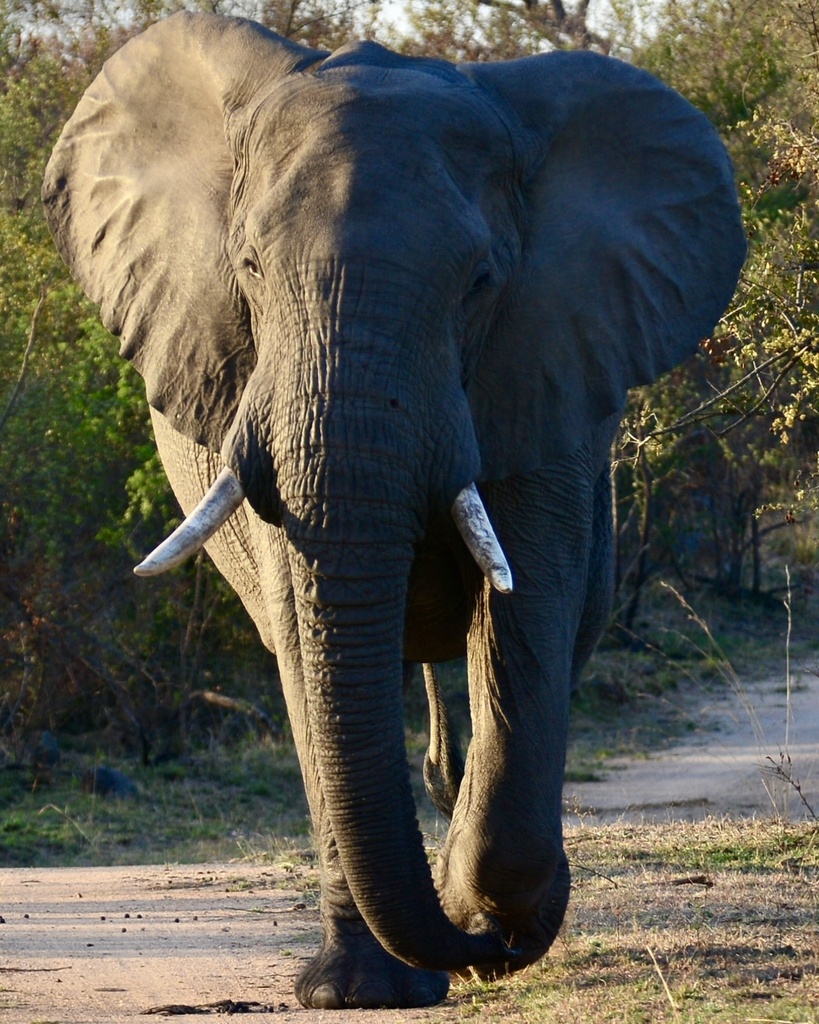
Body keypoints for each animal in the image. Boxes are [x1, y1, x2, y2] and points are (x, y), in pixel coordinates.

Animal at [42, 11, 745, 1010]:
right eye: (247, 269)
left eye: (481, 282)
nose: (488, 943)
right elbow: (310, 636)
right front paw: (393, 976)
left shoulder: (544, 372)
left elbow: (526, 611)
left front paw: (483, 912)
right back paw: (371, 980)